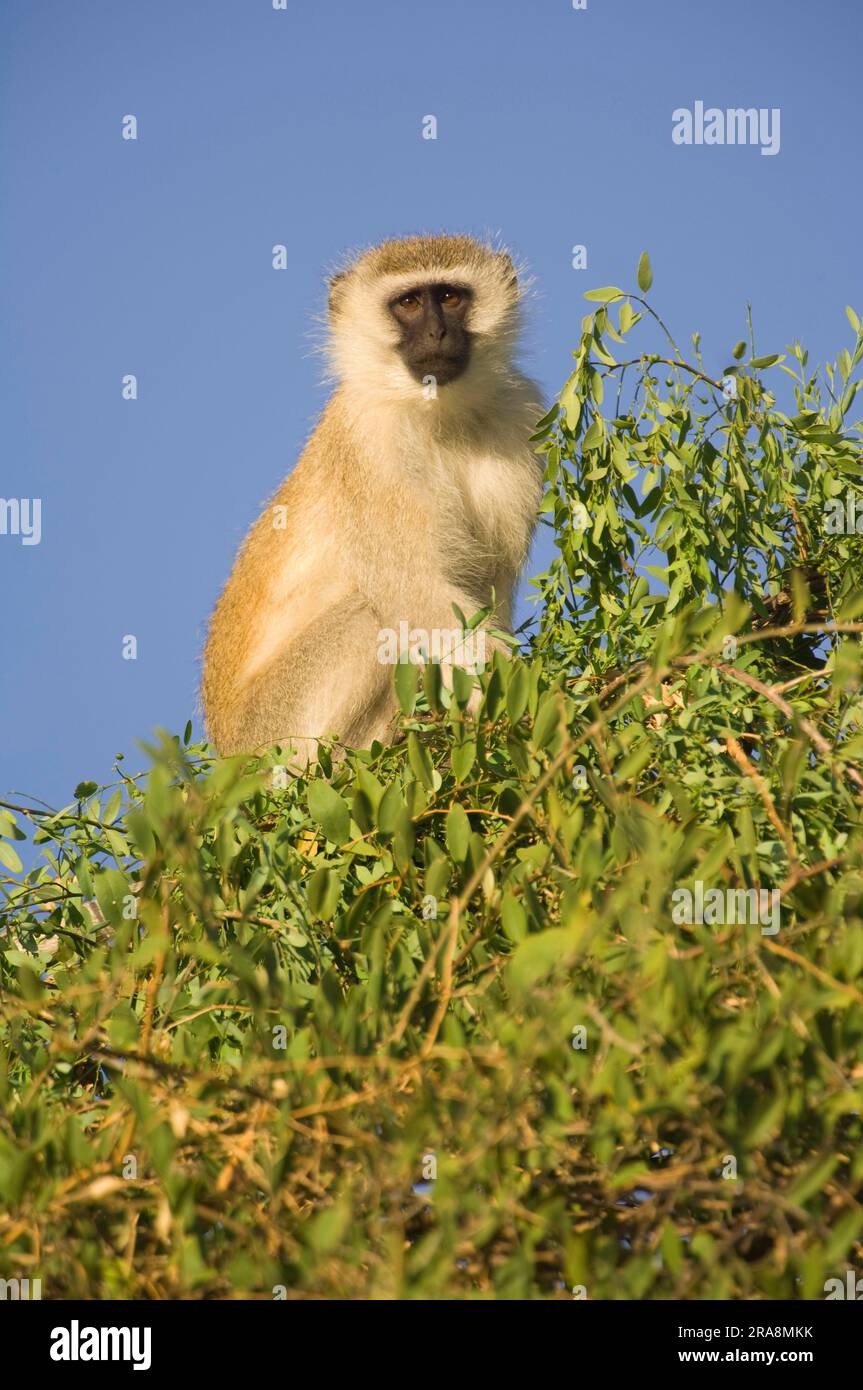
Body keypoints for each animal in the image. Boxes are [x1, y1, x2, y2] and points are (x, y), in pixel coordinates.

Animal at [201, 233, 544, 763]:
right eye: (408, 303)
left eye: (450, 297)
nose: (438, 334)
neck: (437, 414)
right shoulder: (369, 444)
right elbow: (416, 598)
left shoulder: (520, 413)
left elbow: (489, 592)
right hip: (274, 734)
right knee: (368, 621)